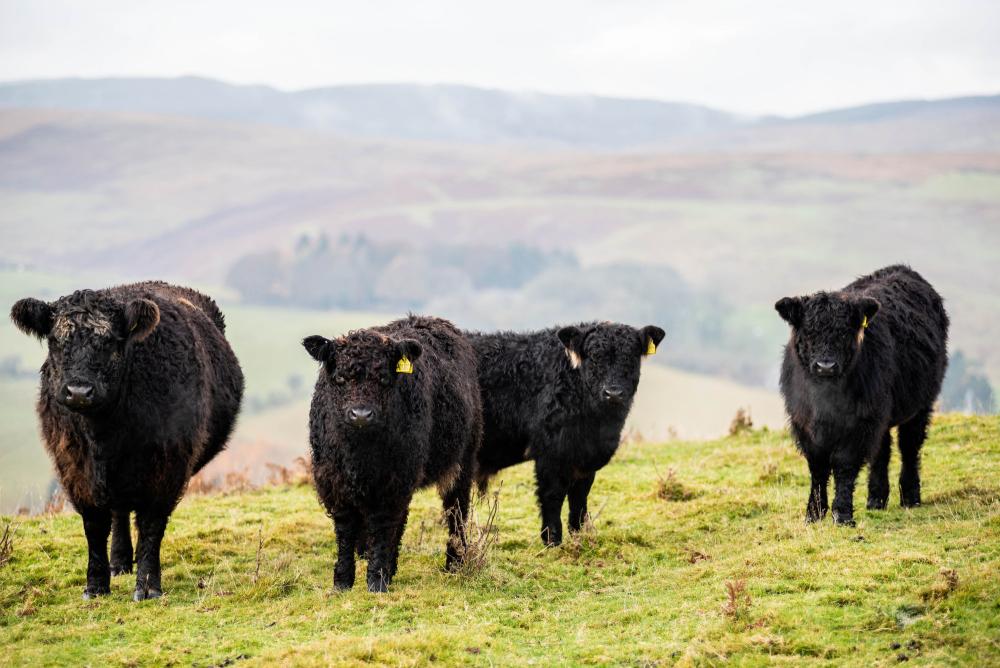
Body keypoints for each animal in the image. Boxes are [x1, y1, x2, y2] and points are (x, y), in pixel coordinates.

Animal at [10, 281, 244, 600]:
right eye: (56, 341)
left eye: (110, 341)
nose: (79, 391)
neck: (103, 433)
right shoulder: (73, 467)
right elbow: (94, 525)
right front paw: (95, 585)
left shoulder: (167, 466)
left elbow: (151, 525)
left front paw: (148, 586)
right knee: (119, 512)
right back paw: (119, 561)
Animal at [775, 265, 949, 526]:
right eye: (808, 332)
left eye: (844, 333)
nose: (825, 366)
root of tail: (903, 269)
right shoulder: (803, 423)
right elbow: (817, 467)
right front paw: (813, 513)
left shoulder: (859, 423)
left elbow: (845, 465)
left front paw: (842, 514)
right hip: (883, 413)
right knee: (882, 451)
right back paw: (876, 499)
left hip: (920, 404)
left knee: (909, 446)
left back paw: (910, 497)